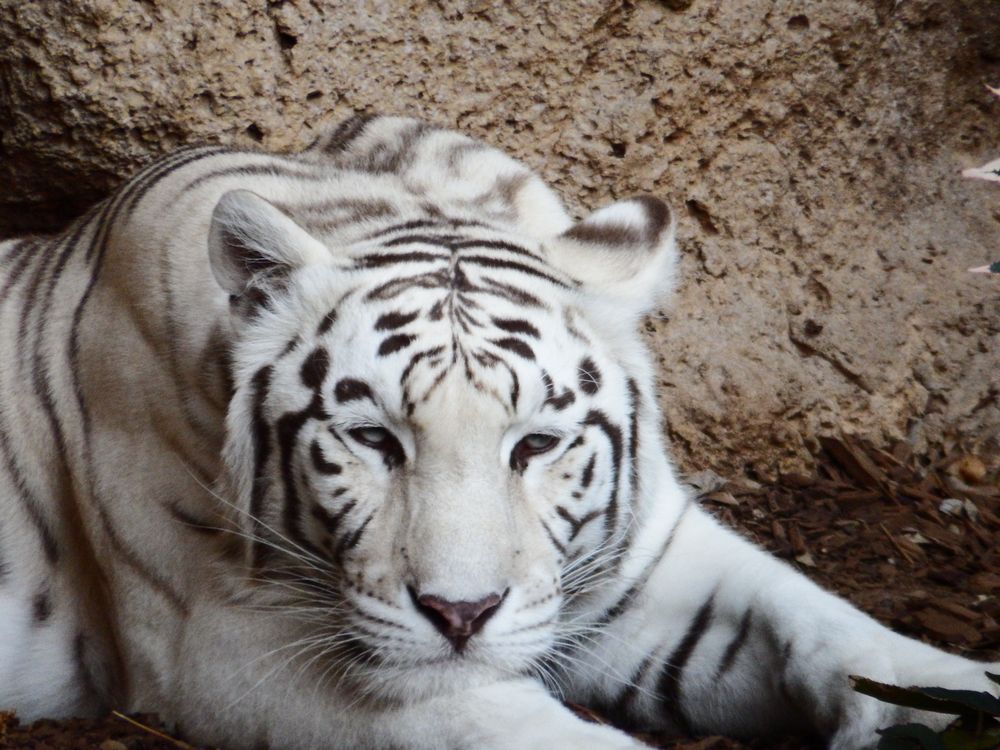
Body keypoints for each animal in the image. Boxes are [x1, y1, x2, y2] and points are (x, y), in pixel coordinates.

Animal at [0, 114, 996, 750]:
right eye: (374, 441)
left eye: (536, 446)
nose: (460, 615)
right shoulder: (229, 647)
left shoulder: (648, 559)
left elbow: (839, 628)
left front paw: (951, 698)